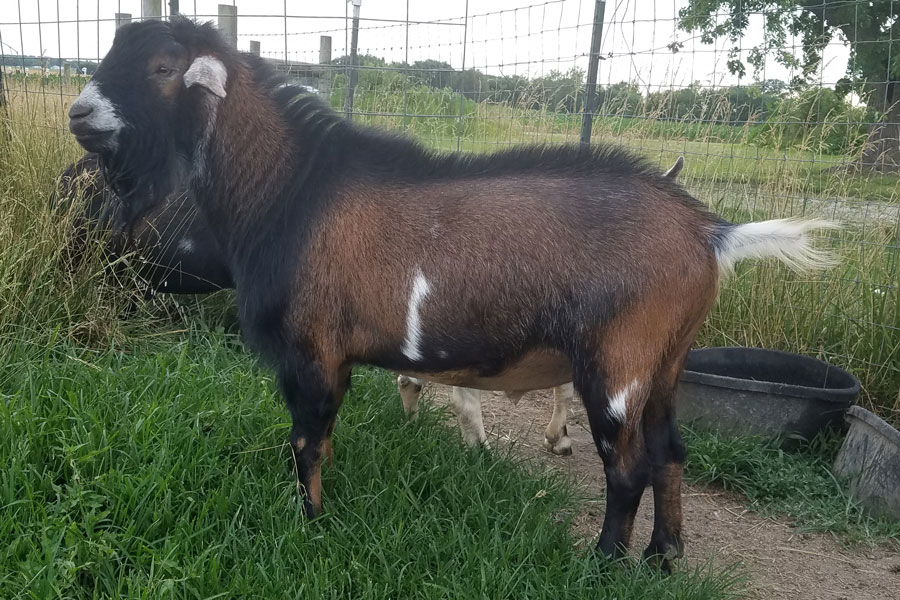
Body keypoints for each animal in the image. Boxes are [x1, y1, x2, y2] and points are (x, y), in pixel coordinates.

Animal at [68, 19, 834, 570]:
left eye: (163, 67)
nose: (79, 112)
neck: (294, 191)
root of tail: (709, 231)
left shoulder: (311, 347)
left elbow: (306, 441)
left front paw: (309, 524)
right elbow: (325, 440)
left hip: (619, 357)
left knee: (627, 465)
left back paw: (605, 563)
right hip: (668, 359)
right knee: (671, 452)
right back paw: (664, 557)